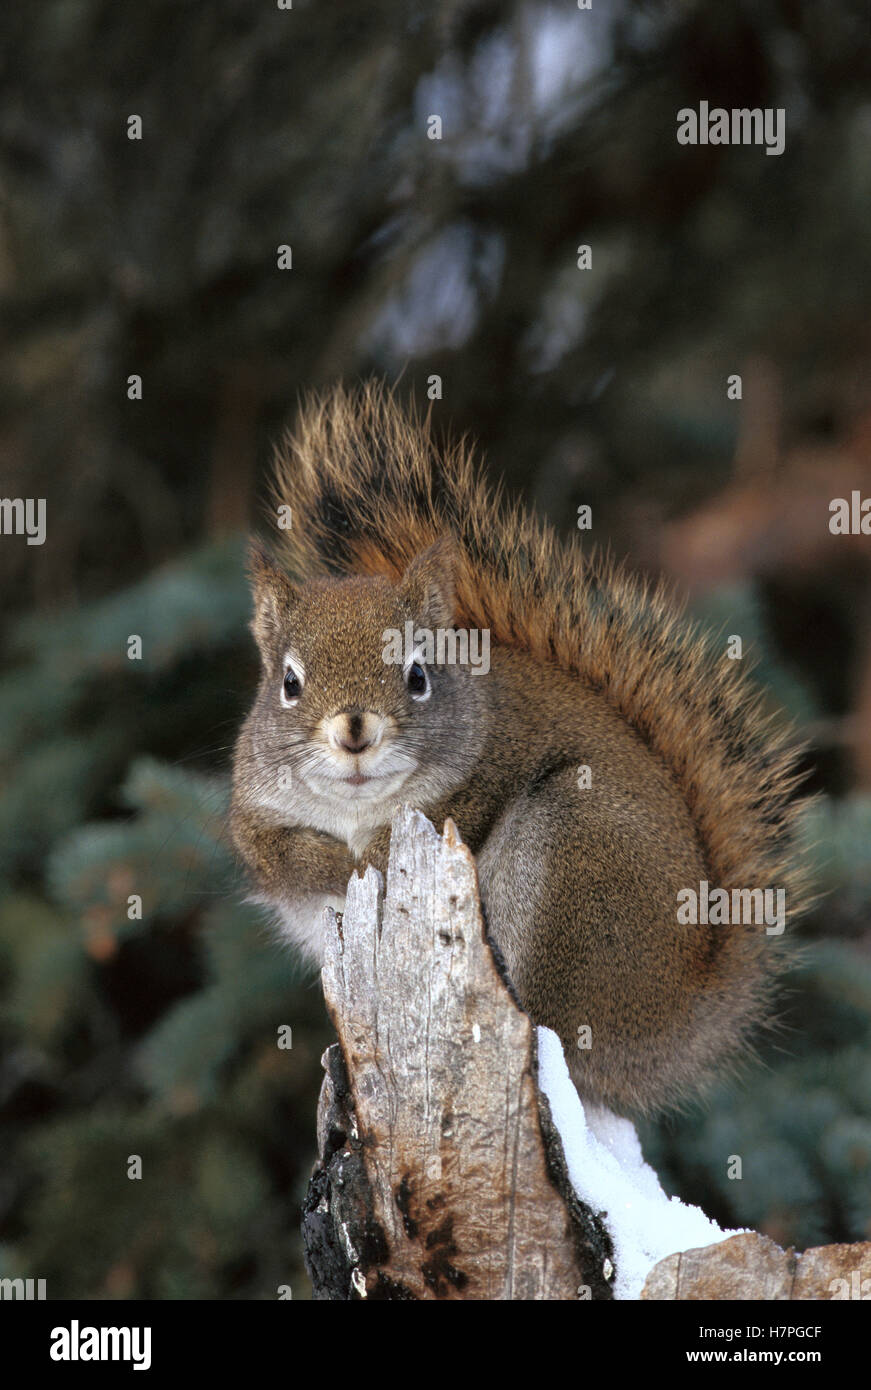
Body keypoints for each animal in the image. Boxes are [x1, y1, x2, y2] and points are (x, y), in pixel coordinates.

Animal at [231, 380, 811, 1117]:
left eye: (417, 675)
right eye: (288, 682)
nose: (354, 731)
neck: (359, 807)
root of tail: (679, 1016)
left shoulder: (492, 767)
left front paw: (372, 856)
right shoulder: (253, 817)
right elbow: (278, 859)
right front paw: (340, 861)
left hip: (577, 860)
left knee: (555, 1023)